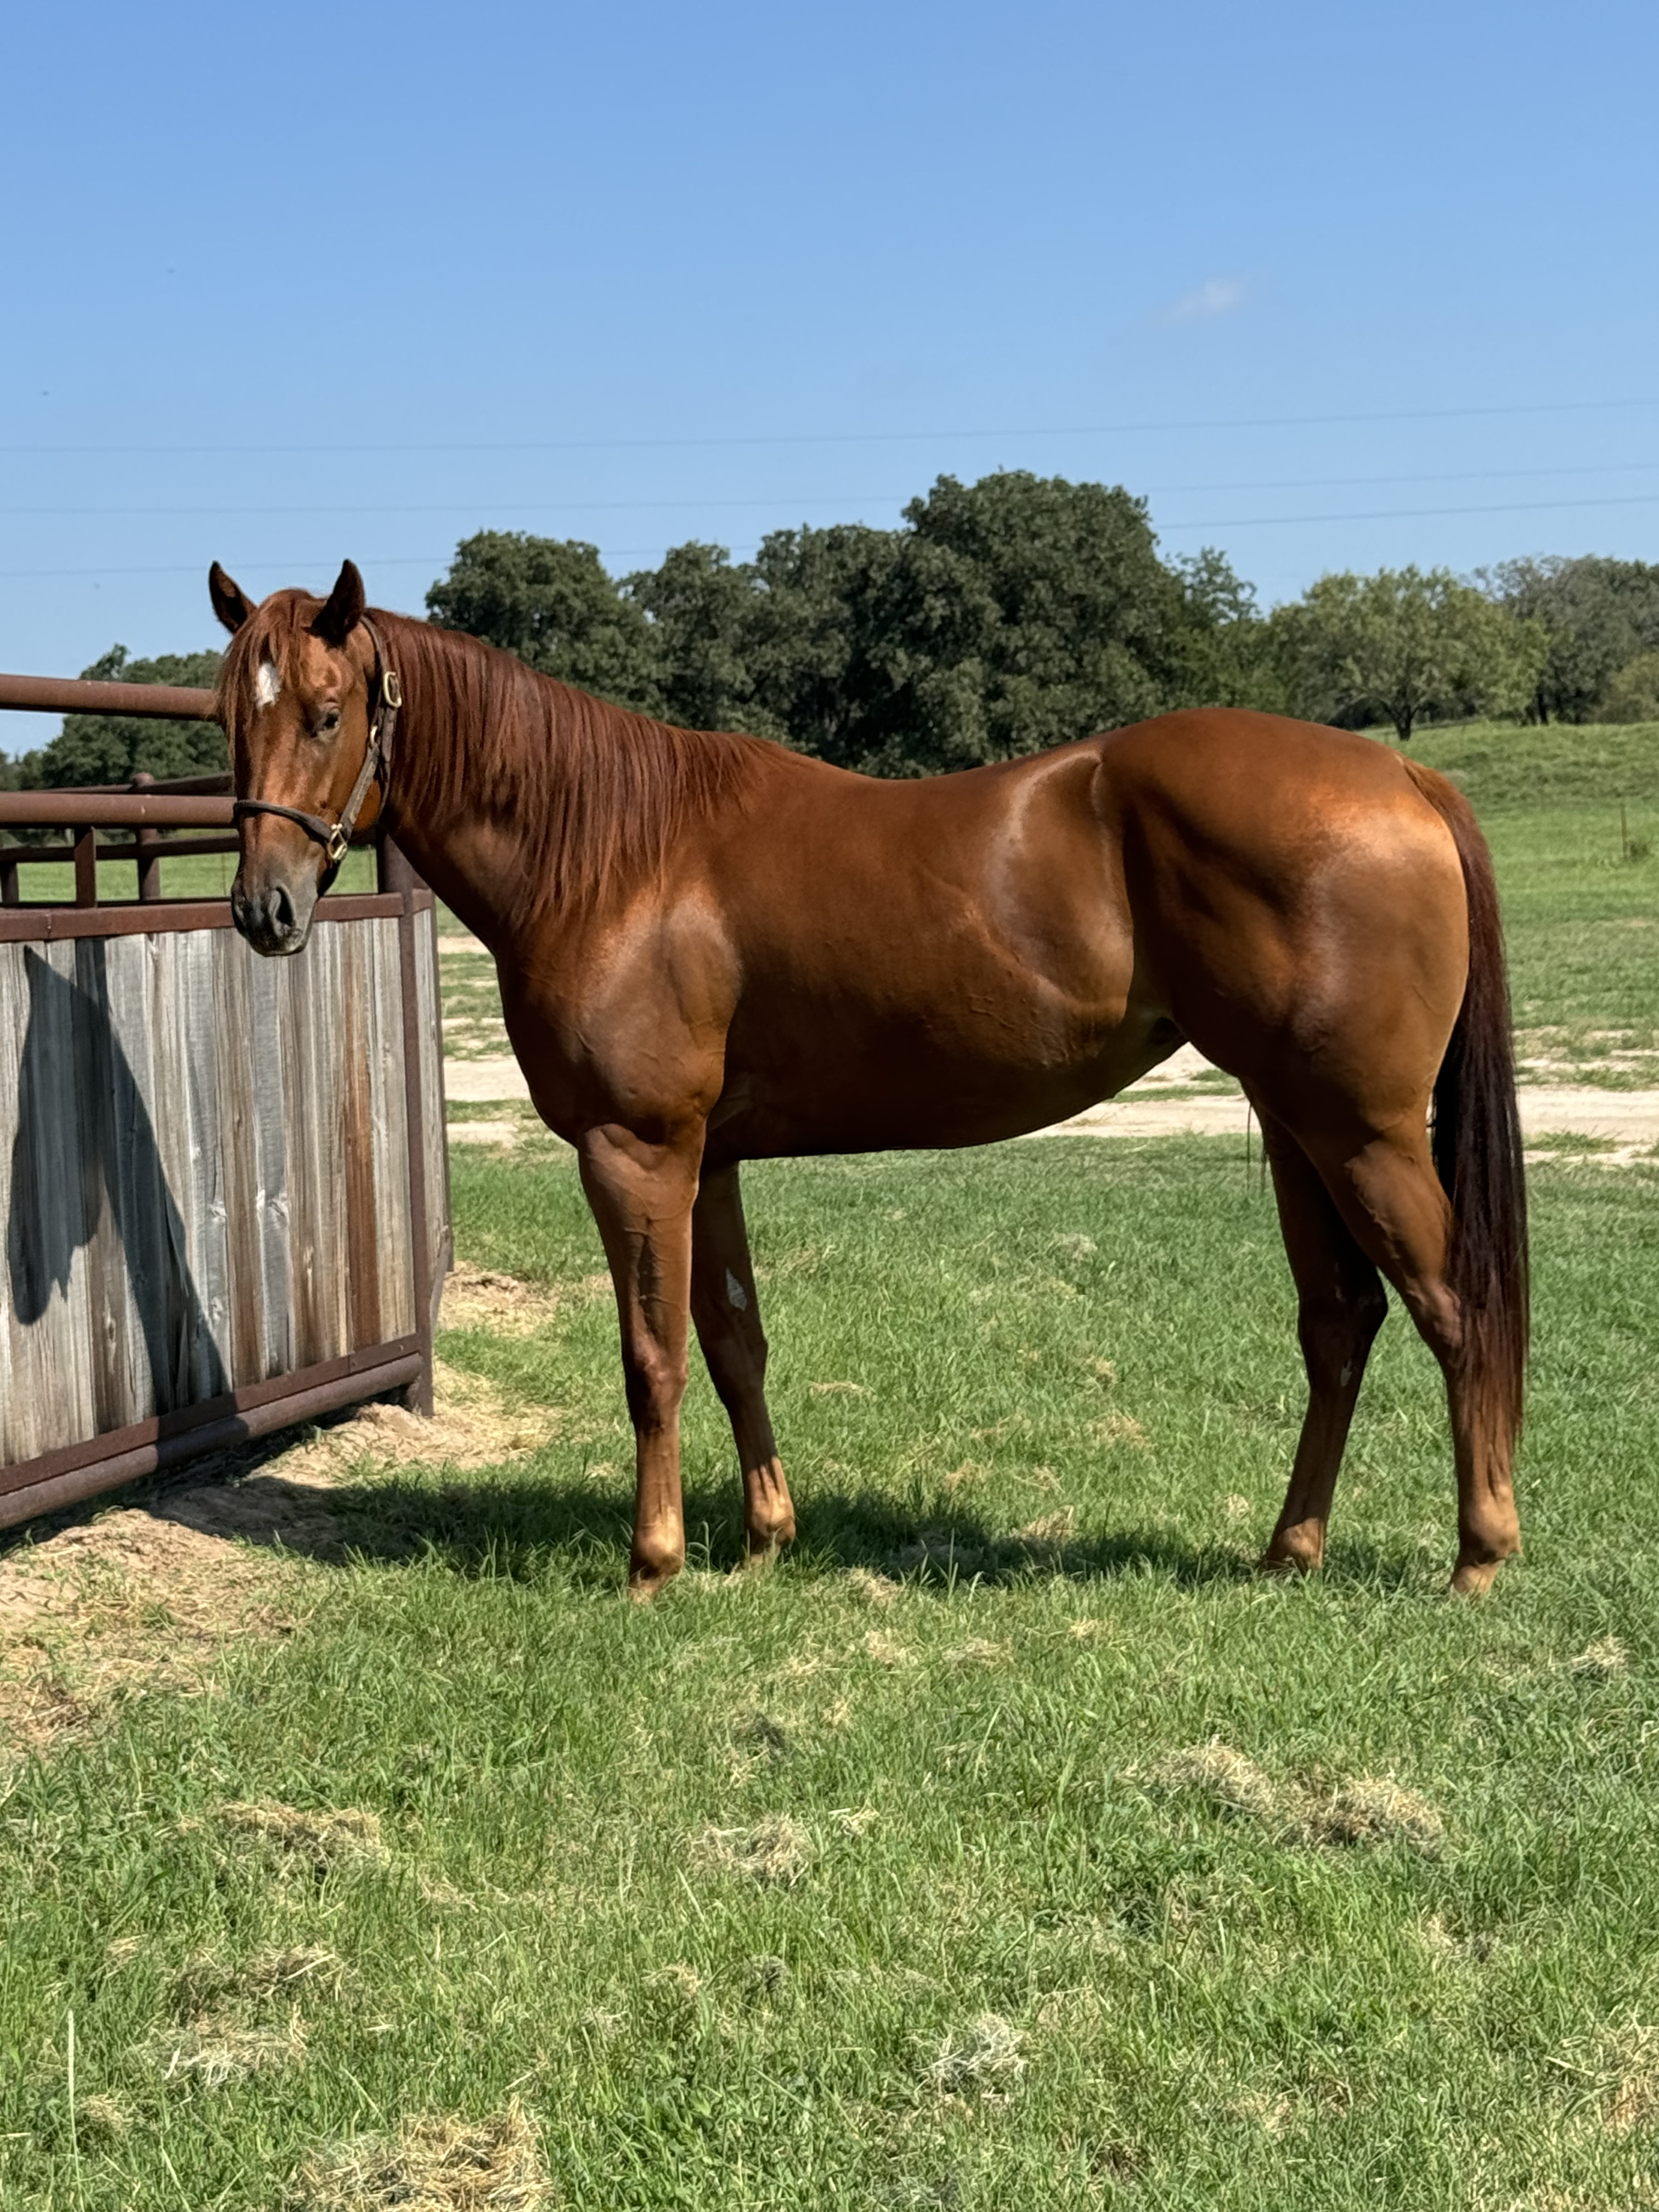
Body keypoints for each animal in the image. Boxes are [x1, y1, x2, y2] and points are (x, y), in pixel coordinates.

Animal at [210, 559, 1528, 1600]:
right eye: (230, 718)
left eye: (325, 713)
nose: (264, 910)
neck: (615, 857)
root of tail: (1403, 780)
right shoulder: (708, 1160)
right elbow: (733, 1339)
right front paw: (764, 1540)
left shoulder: (636, 1151)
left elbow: (651, 1357)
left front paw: (653, 1562)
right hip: (1296, 1125)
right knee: (1340, 1320)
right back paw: (1289, 1550)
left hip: (1361, 1133)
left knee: (1452, 1310)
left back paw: (1476, 1555)